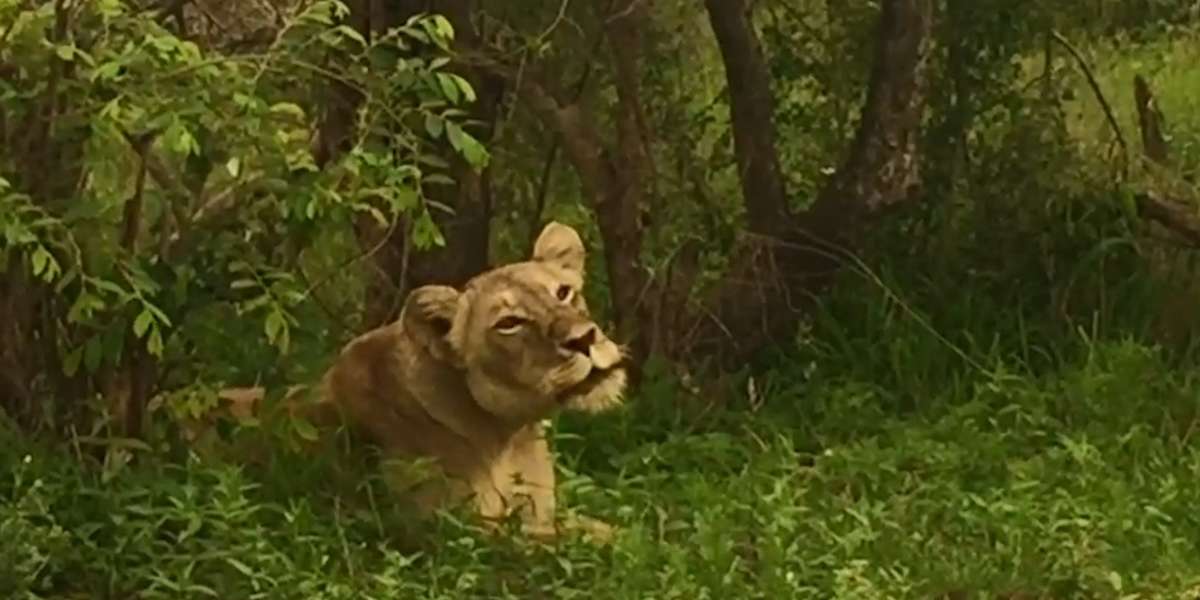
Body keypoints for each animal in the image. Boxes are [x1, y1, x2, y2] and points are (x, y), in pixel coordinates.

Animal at [316, 221, 627, 540]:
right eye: (509, 323)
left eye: (563, 293)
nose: (584, 339)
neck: (509, 435)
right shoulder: (457, 531)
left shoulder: (544, 516)